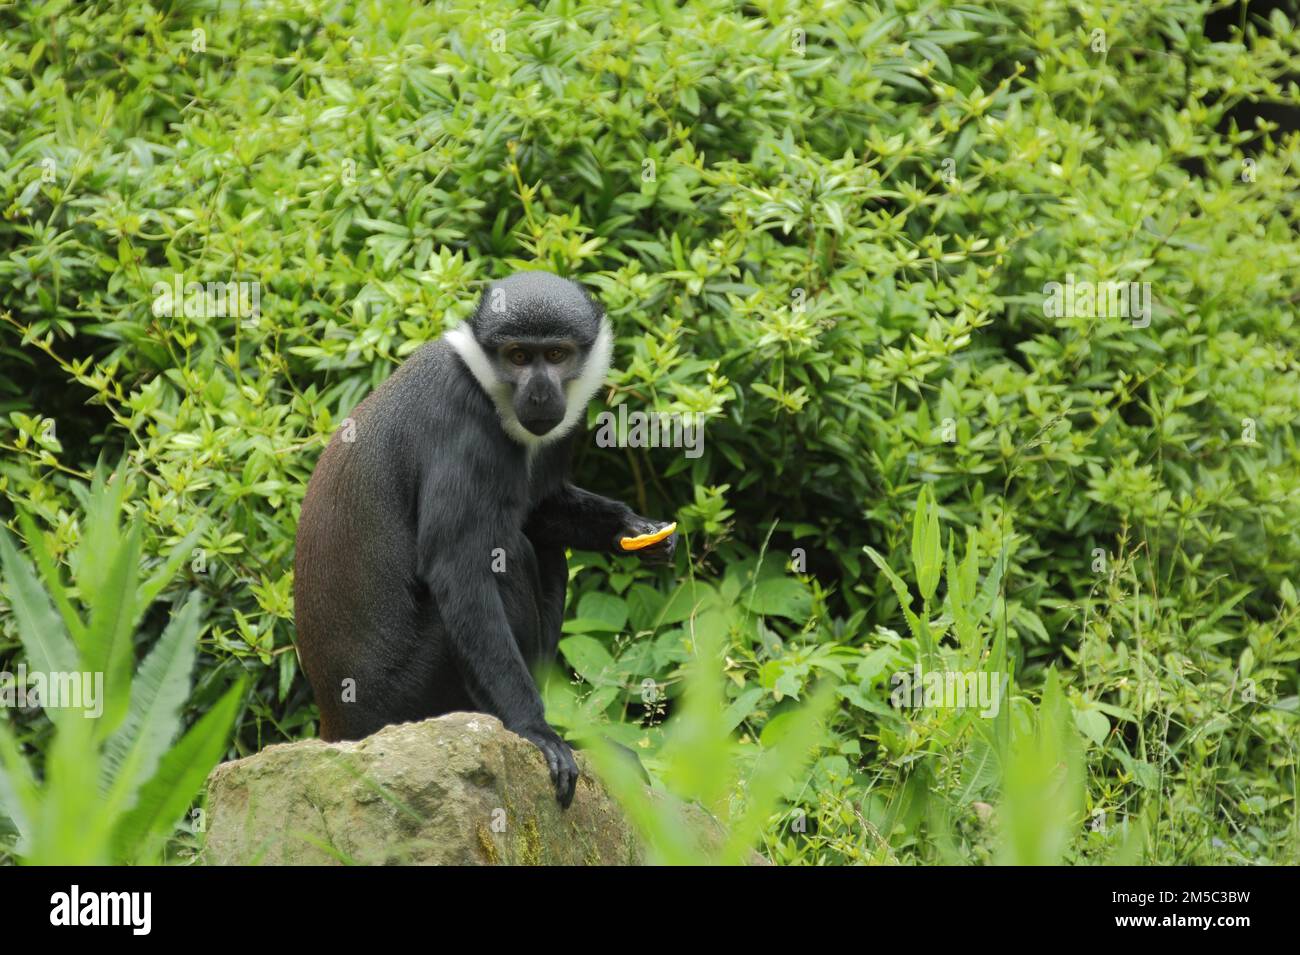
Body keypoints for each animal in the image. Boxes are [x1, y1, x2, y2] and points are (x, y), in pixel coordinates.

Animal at [293, 271, 676, 807]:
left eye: (555, 354)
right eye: (517, 356)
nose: (539, 394)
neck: (486, 384)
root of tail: (341, 727)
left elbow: (541, 511)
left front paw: (635, 531)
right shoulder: (460, 422)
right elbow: (461, 569)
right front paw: (536, 731)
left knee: (542, 549)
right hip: (410, 696)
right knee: (509, 555)